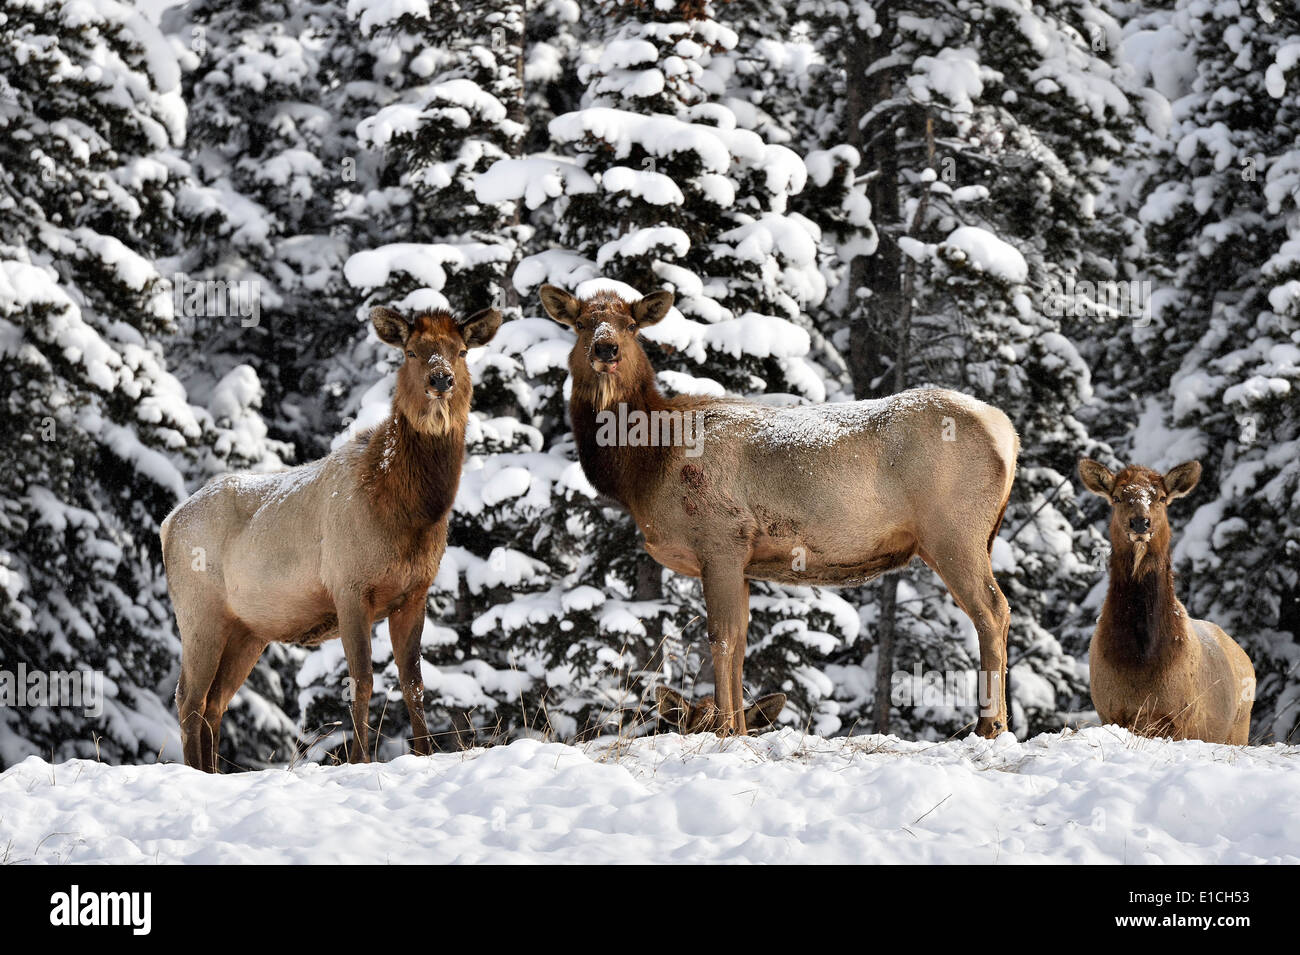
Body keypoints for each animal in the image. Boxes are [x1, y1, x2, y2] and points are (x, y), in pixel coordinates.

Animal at [161, 304, 501, 771]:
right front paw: (360, 758)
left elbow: (413, 682)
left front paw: (424, 752)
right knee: (188, 698)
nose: (441, 379)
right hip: (198, 612)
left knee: (214, 702)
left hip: (248, 631)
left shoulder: (414, 592)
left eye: (462, 351)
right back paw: (195, 770)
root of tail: (168, 523)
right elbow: (362, 679)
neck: (409, 517)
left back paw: (212, 771)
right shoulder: (349, 587)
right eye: (411, 351)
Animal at [539, 284, 1020, 738]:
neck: (647, 467)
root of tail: (1006, 432)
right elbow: (740, 641)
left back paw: (990, 726)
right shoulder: (743, 560)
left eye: (631, 325)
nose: (606, 349)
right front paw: (736, 727)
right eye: (581, 323)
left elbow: (720, 638)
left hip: (954, 530)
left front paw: (726, 728)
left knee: (992, 610)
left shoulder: (720, 538)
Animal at [1078, 459, 1254, 744]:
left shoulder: (1179, 716)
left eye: (1161, 497)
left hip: (1239, 726)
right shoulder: (1109, 710)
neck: (1141, 659)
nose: (1140, 523)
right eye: (1117, 497)